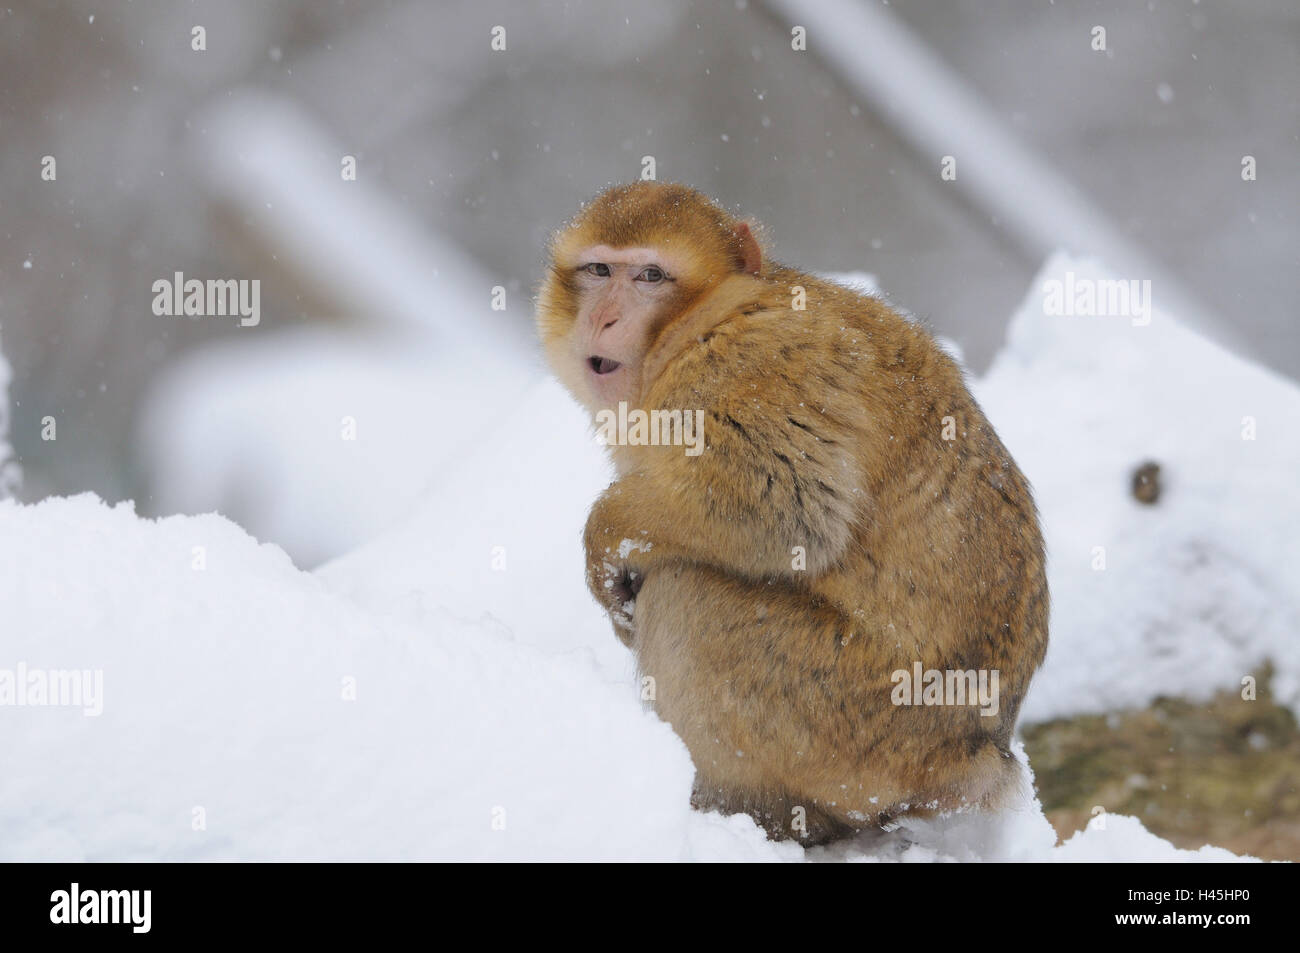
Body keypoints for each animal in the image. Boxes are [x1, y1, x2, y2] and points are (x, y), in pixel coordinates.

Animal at [536, 182, 1049, 845]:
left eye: (650, 275)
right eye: (599, 270)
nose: (604, 318)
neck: (699, 323)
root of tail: (974, 755)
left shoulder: (748, 368)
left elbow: (787, 510)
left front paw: (605, 540)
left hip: (855, 721)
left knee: (687, 598)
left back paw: (742, 813)